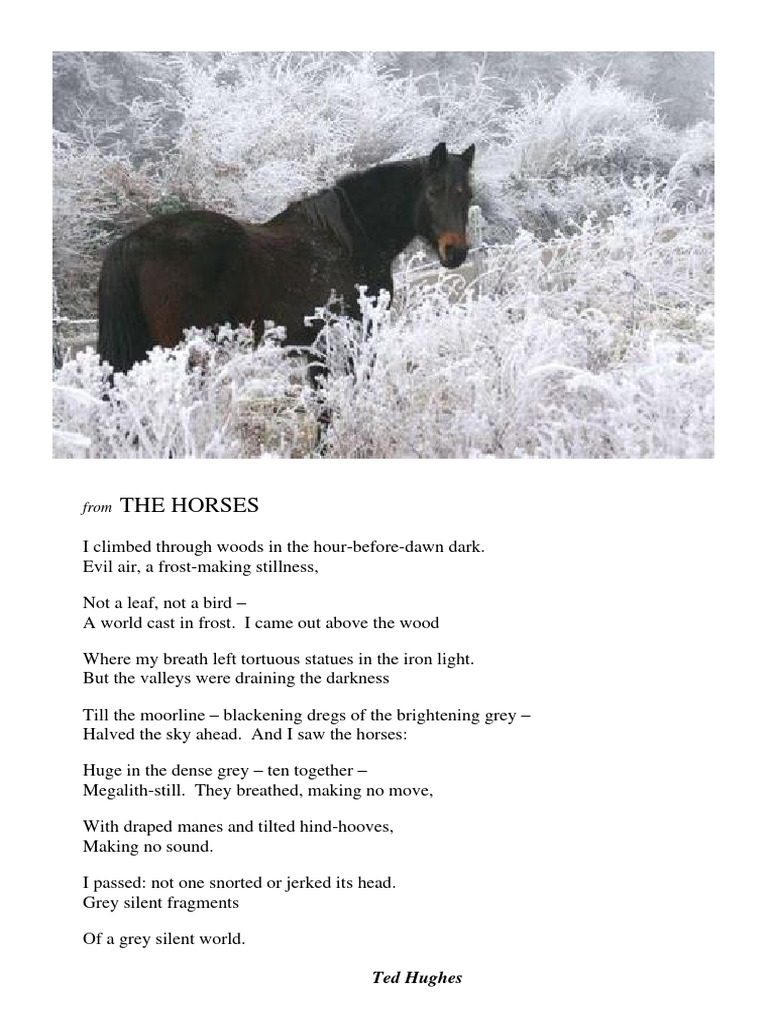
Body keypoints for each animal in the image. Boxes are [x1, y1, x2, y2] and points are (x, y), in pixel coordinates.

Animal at [97, 142, 476, 374]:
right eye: (433, 191)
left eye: (468, 195)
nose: (456, 251)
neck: (350, 241)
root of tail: (132, 243)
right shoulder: (341, 344)